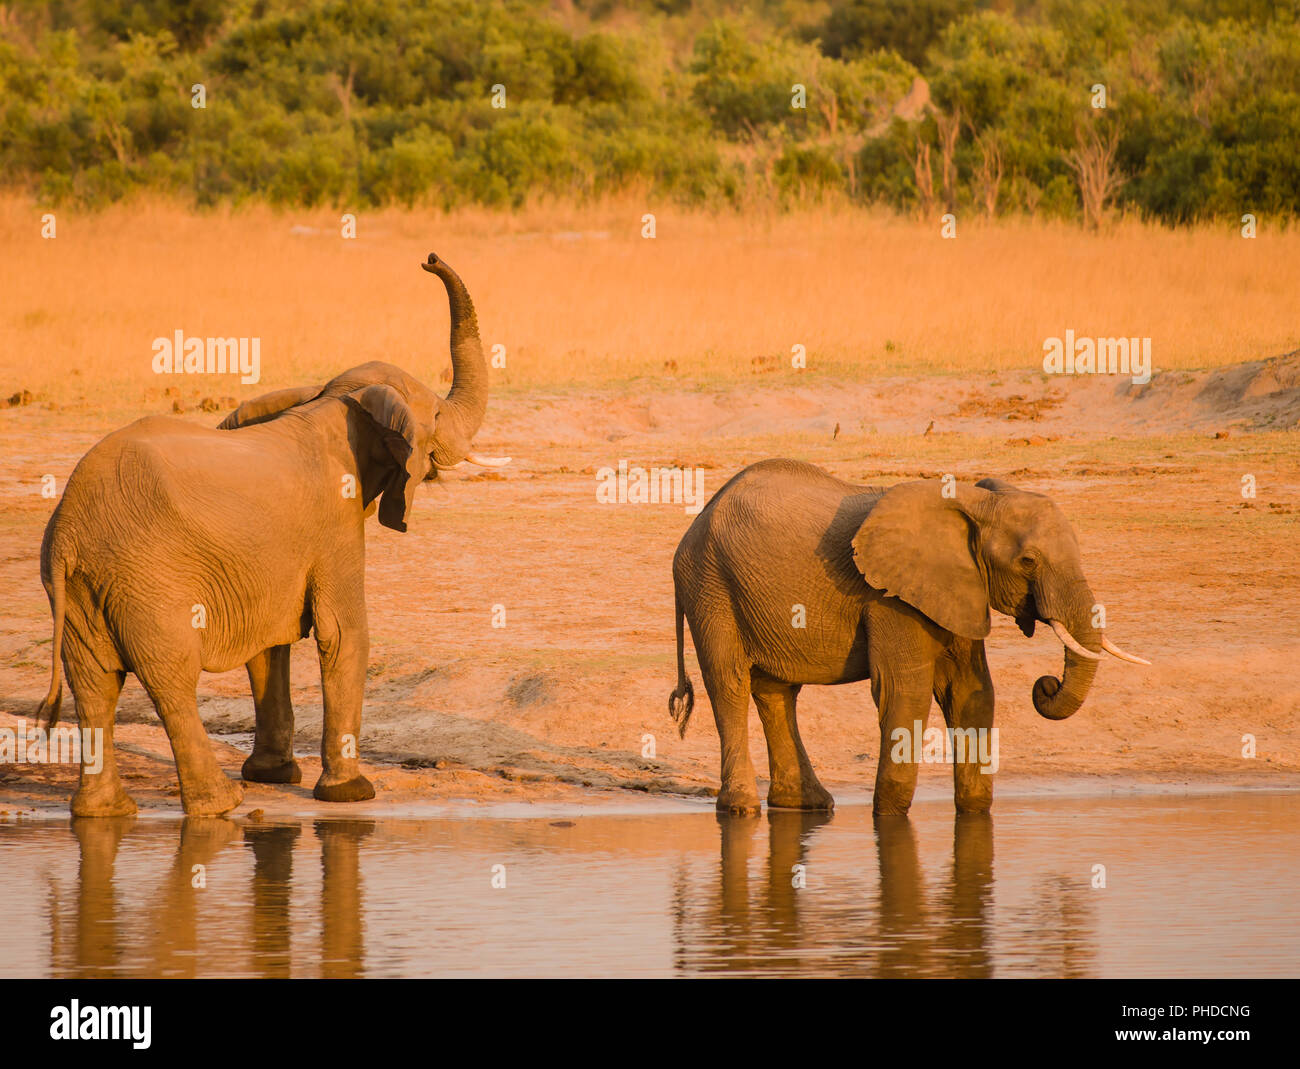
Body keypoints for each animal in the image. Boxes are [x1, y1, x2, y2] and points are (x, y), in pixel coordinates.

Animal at [35, 252, 507, 817]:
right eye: (436, 413)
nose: (429, 259)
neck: (334, 403)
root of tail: (67, 526)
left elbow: (269, 642)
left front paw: (276, 776)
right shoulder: (334, 520)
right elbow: (343, 633)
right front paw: (351, 794)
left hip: (81, 585)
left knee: (94, 684)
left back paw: (105, 813)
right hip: (143, 574)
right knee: (169, 677)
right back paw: (218, 804)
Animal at [668, 459, 1148, 816]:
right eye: (1028, 561)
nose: (1045, 684)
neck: (973, 502)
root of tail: (696, 524)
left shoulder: (958, 586)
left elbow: (972, 691)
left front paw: (974, 814)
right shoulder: (889, 597)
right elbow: (906, 692)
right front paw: (889, 817)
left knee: (776, 692)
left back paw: (808, 805)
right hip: (710, 586)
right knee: (730, 684)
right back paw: (741, 810)